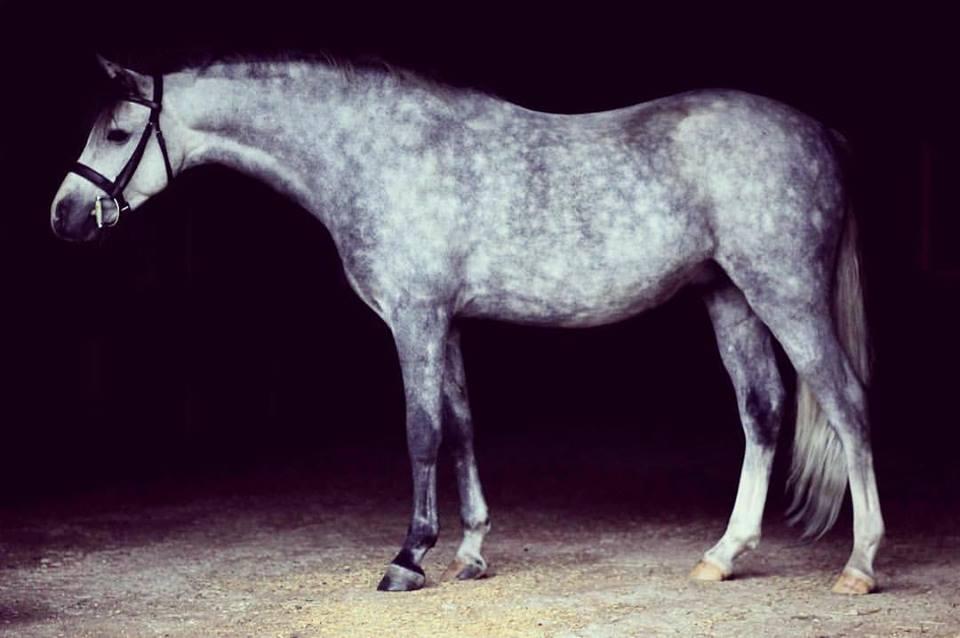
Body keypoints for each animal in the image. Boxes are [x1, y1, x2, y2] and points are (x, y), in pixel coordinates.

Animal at [50, 55, 884, 595]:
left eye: (119, 133)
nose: (64, 215)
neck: (377, 152)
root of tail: (824, 133)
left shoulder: (415, 319)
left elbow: (422, 432)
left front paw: (409, 557)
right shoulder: (444, 323)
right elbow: (461, 426)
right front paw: (473, 552)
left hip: (786, 294)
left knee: (847, 406)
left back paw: (860, 565)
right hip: (731, 299)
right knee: (763, 413)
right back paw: (725, 554)